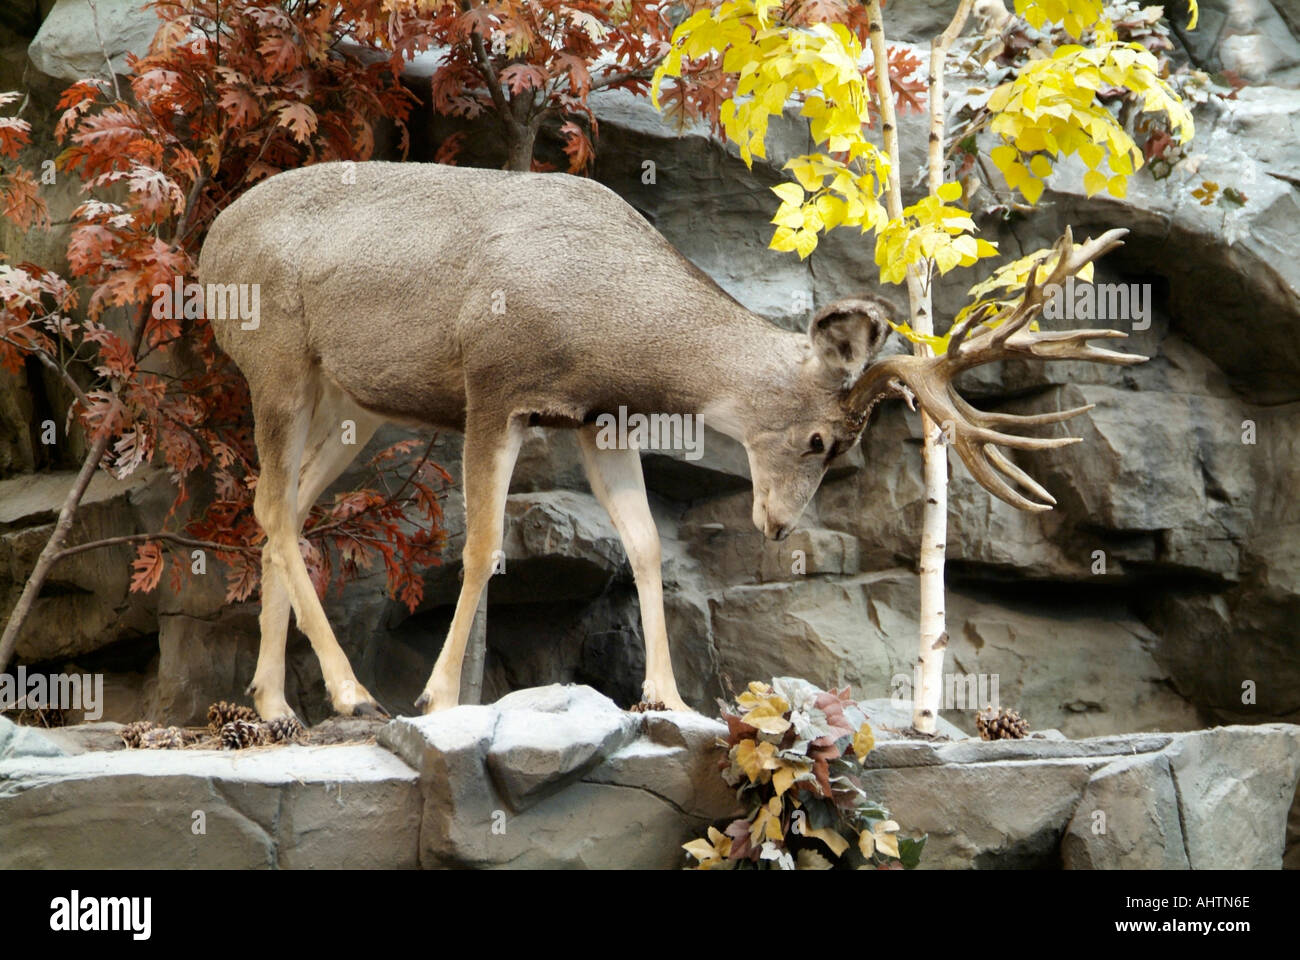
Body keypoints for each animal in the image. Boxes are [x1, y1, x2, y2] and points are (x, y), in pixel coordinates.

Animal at [197, 160, 1143, 722]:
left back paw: (275, 702)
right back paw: (351, 694)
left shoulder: (597, 418)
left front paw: (666, 698)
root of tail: (210, 243)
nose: (778, 526)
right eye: (820, 441)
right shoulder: (495, 387)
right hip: (275, 357)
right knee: (273, 506)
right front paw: (434, 696)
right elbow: (483, 544)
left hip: (351, 401)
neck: (615, 322)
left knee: (278, 506)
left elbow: (648, 544)